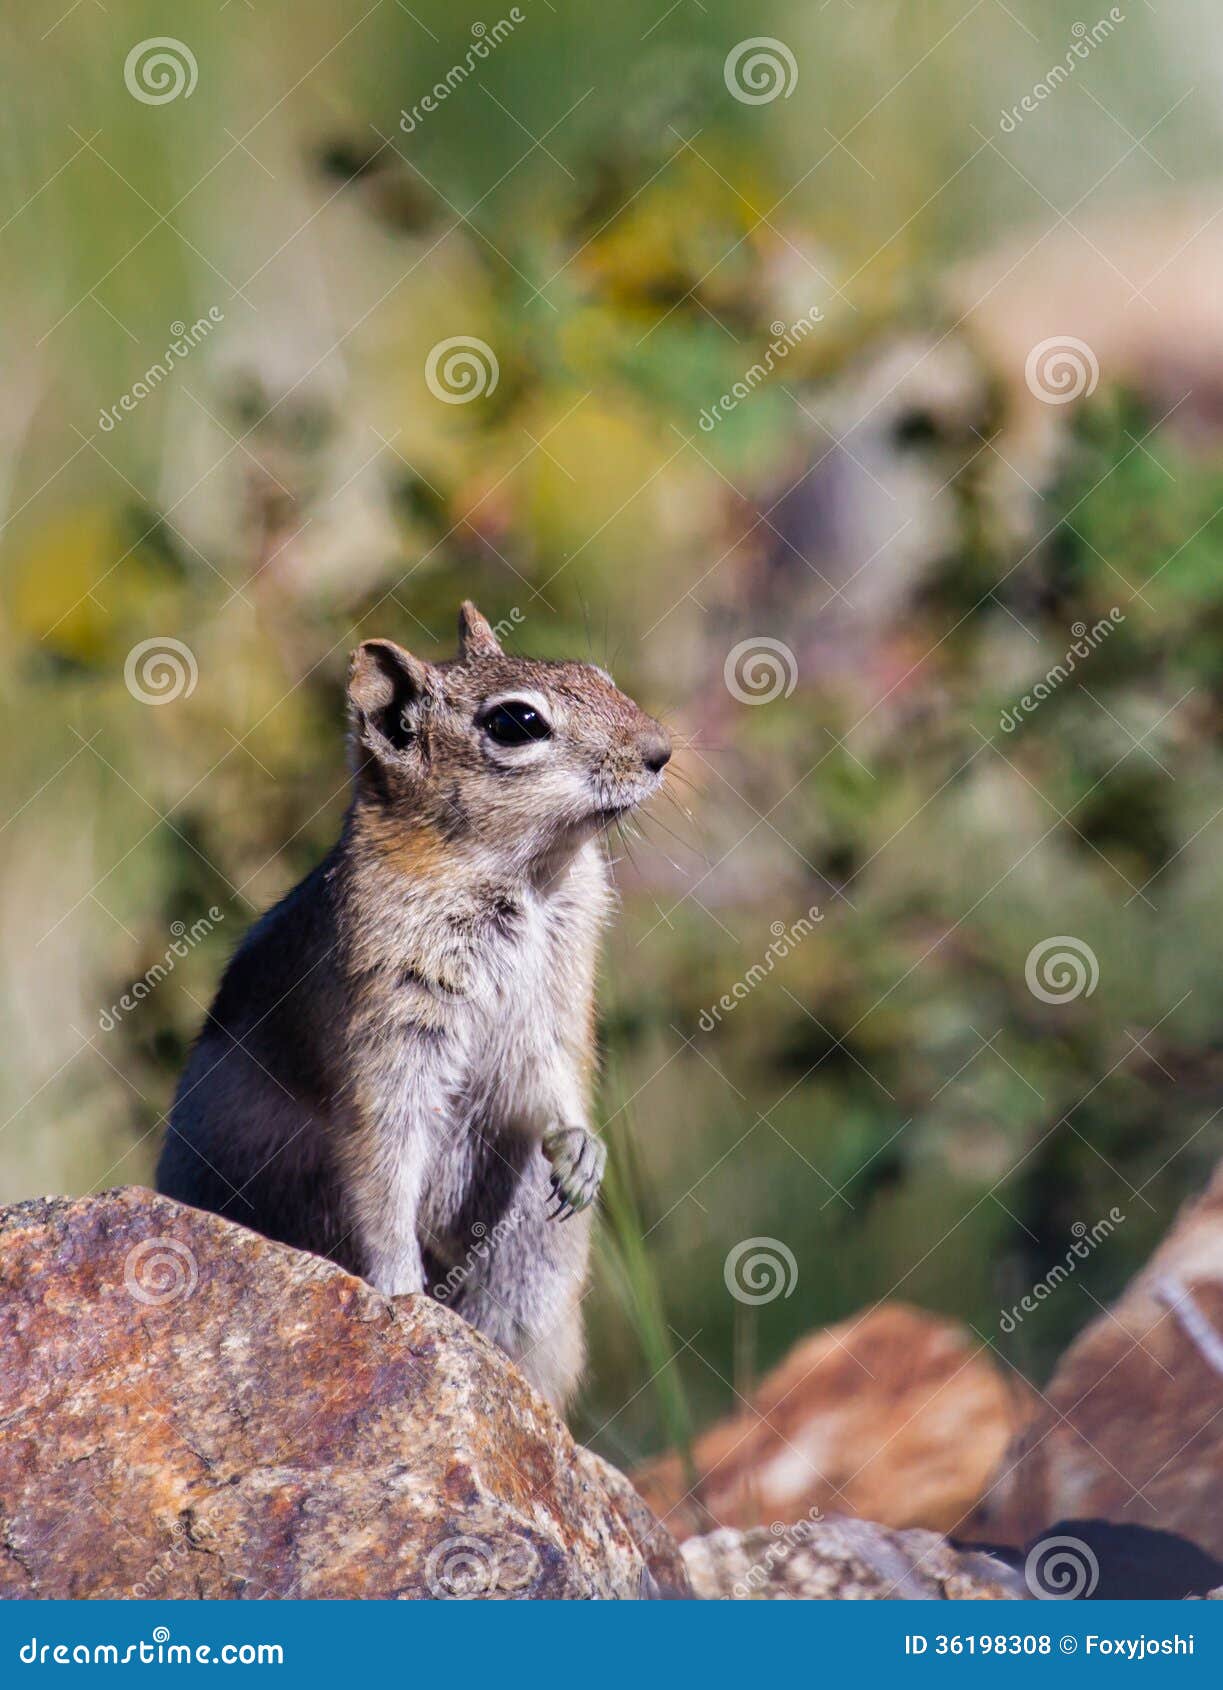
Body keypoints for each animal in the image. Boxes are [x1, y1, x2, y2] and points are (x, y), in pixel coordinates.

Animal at [156, 603, 671, 1407]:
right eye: (516, 723)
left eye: (598, 675)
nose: (660, 752)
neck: (528, 880)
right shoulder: (393, 1023)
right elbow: (385, 1158)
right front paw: (399, 1290)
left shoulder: (554, 1003)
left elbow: (550, 1077)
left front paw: (582, 1151)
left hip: (532, 1266)